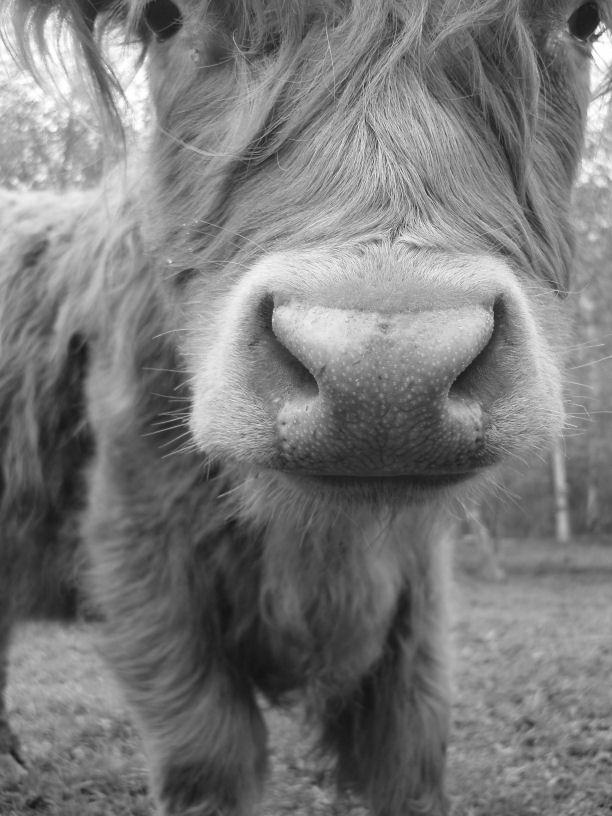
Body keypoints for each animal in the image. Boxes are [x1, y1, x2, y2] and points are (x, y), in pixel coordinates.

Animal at [0, 1, 609, 814]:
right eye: (164, 17)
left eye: (582, 20)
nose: (384, 378)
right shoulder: (135, 540)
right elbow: (208, 752)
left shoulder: (414, 590)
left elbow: (411, 743)